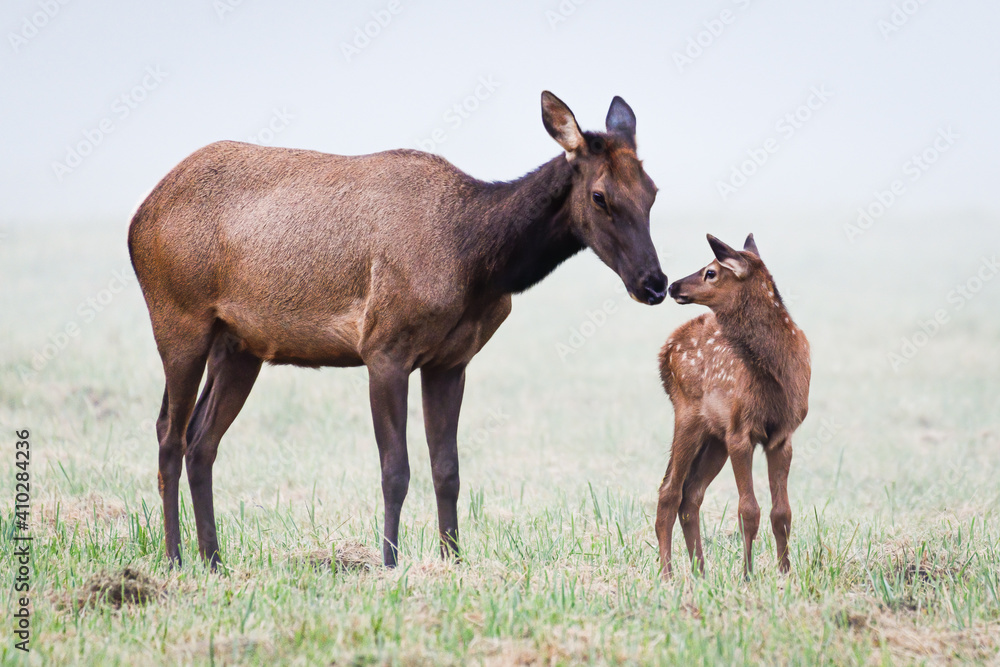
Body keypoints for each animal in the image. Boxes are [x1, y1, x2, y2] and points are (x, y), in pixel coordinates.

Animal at [127, 91, 667, 570]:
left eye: (653, 191)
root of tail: (137, 218)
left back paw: (215, 560)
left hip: (241, 345)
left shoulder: (451, 361)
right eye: (600, 197)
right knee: (169, 433)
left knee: (201, 440)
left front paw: (454, 560)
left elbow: (447, 470)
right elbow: (396, 470)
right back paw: (175, 559)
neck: (475, 262)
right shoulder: (384, 348)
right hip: (178, 318)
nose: (655, 283)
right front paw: (389, 561)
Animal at [655, 234, 810, 579]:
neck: (778, 375)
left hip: (715, 437)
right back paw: (667, 575)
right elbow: (748, 509)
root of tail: (664, 351)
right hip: (687, 414)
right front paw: (748, 576)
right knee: (669, 491)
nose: (672, 286)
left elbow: (782, 513)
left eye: (711, 272)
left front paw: (785, 574)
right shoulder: (741, 430)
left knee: (691, 496)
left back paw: (700, 573)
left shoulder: (783, 435)